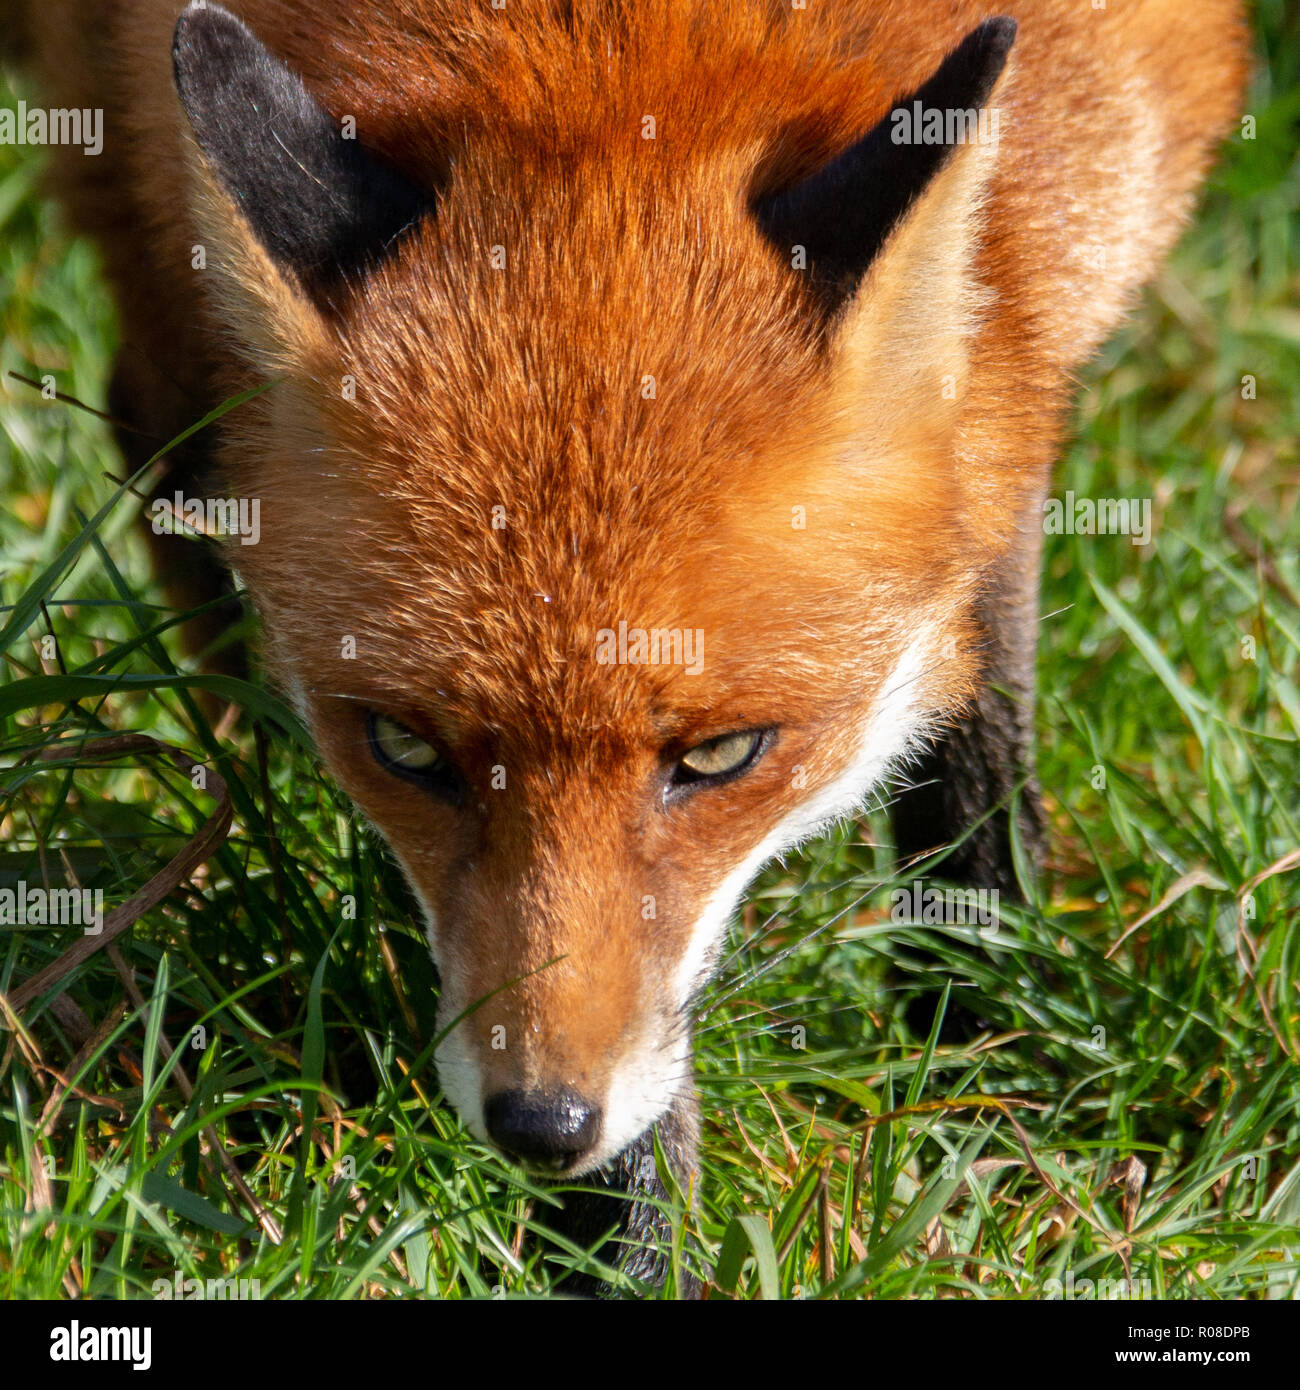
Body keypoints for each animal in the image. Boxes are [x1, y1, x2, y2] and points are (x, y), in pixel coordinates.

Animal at [9, 0, 1247, 1291]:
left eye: (720, 757)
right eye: (406, 749)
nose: (541, 1123)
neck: (613, 53)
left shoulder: (1017, 358)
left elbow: (974, 757)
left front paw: (979, 1051)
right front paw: (631, 1248)